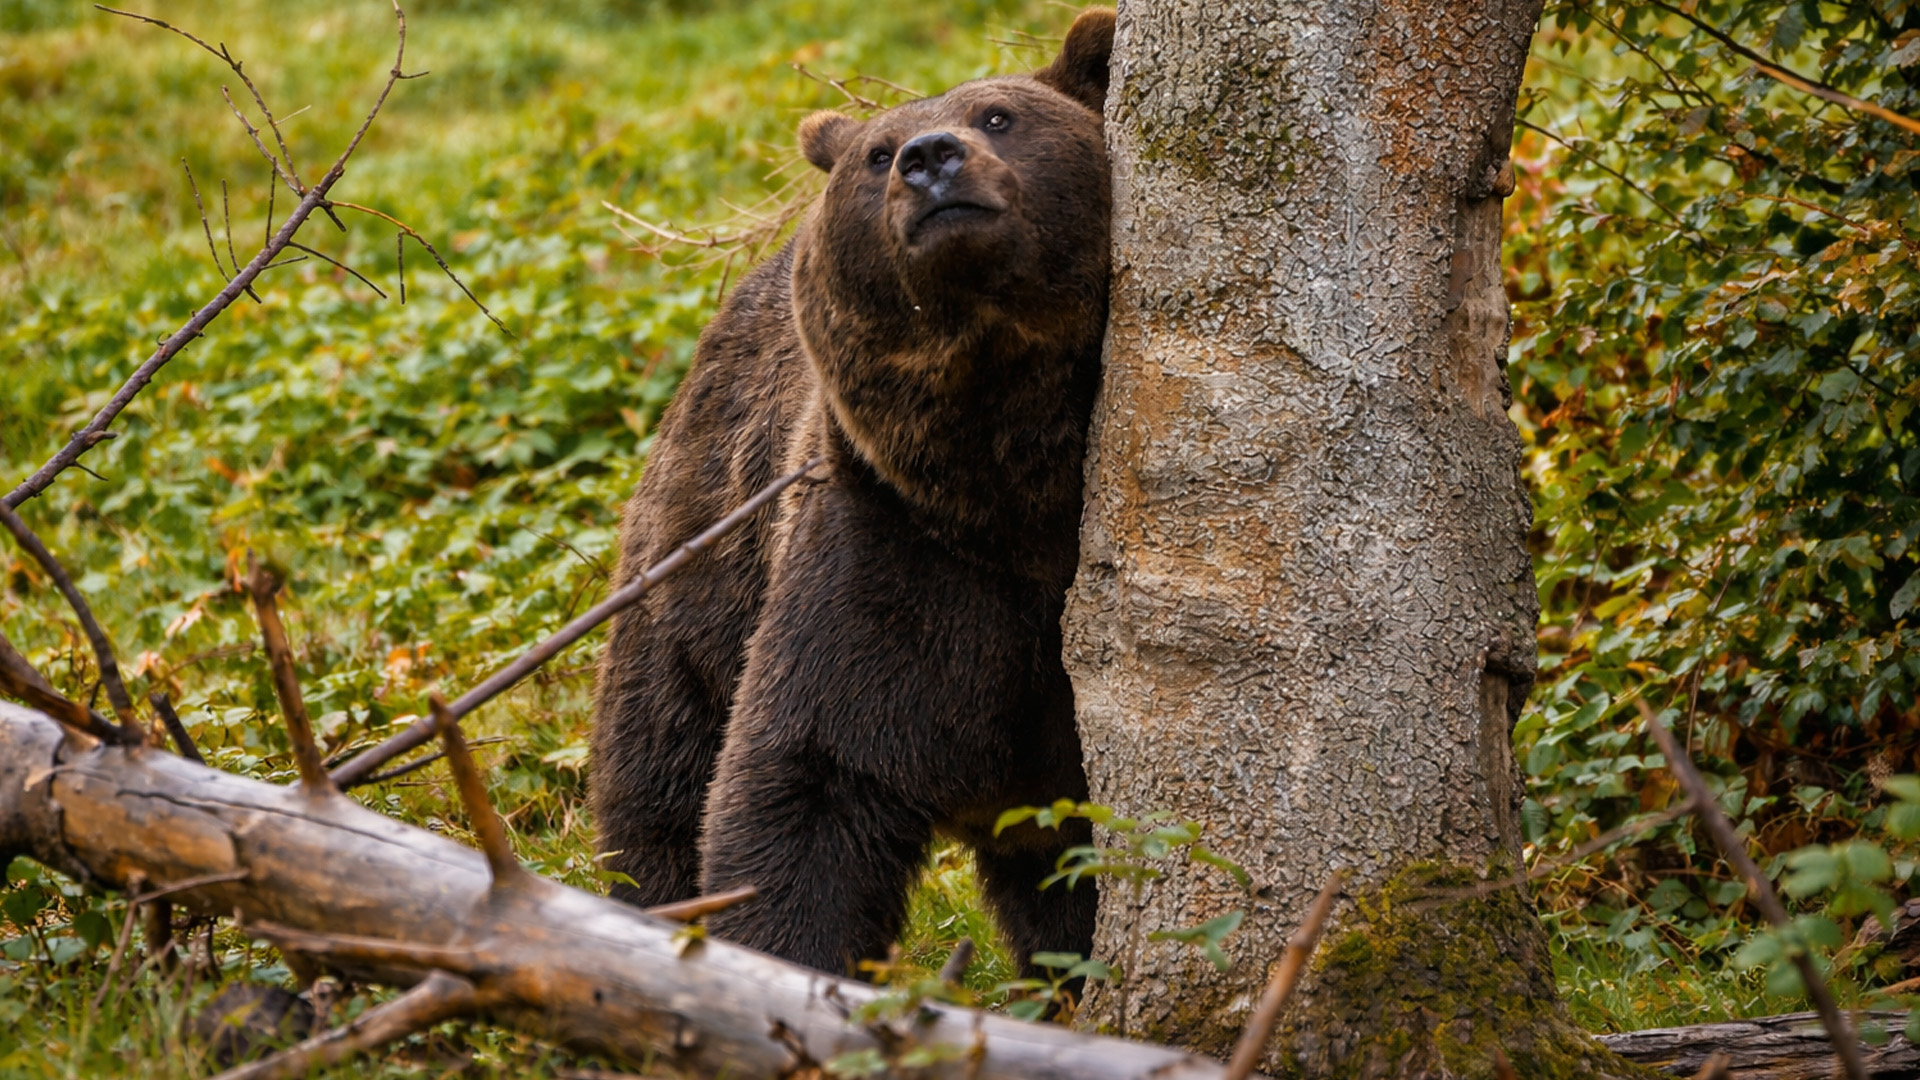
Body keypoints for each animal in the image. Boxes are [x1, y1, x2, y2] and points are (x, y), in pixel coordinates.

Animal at [590, 8, 1114, 977]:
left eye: (998, 116)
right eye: (876, 154)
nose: (929, 157)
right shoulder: (893, 551)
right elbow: (808, 786)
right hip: (698, 571)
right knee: (661, 777)